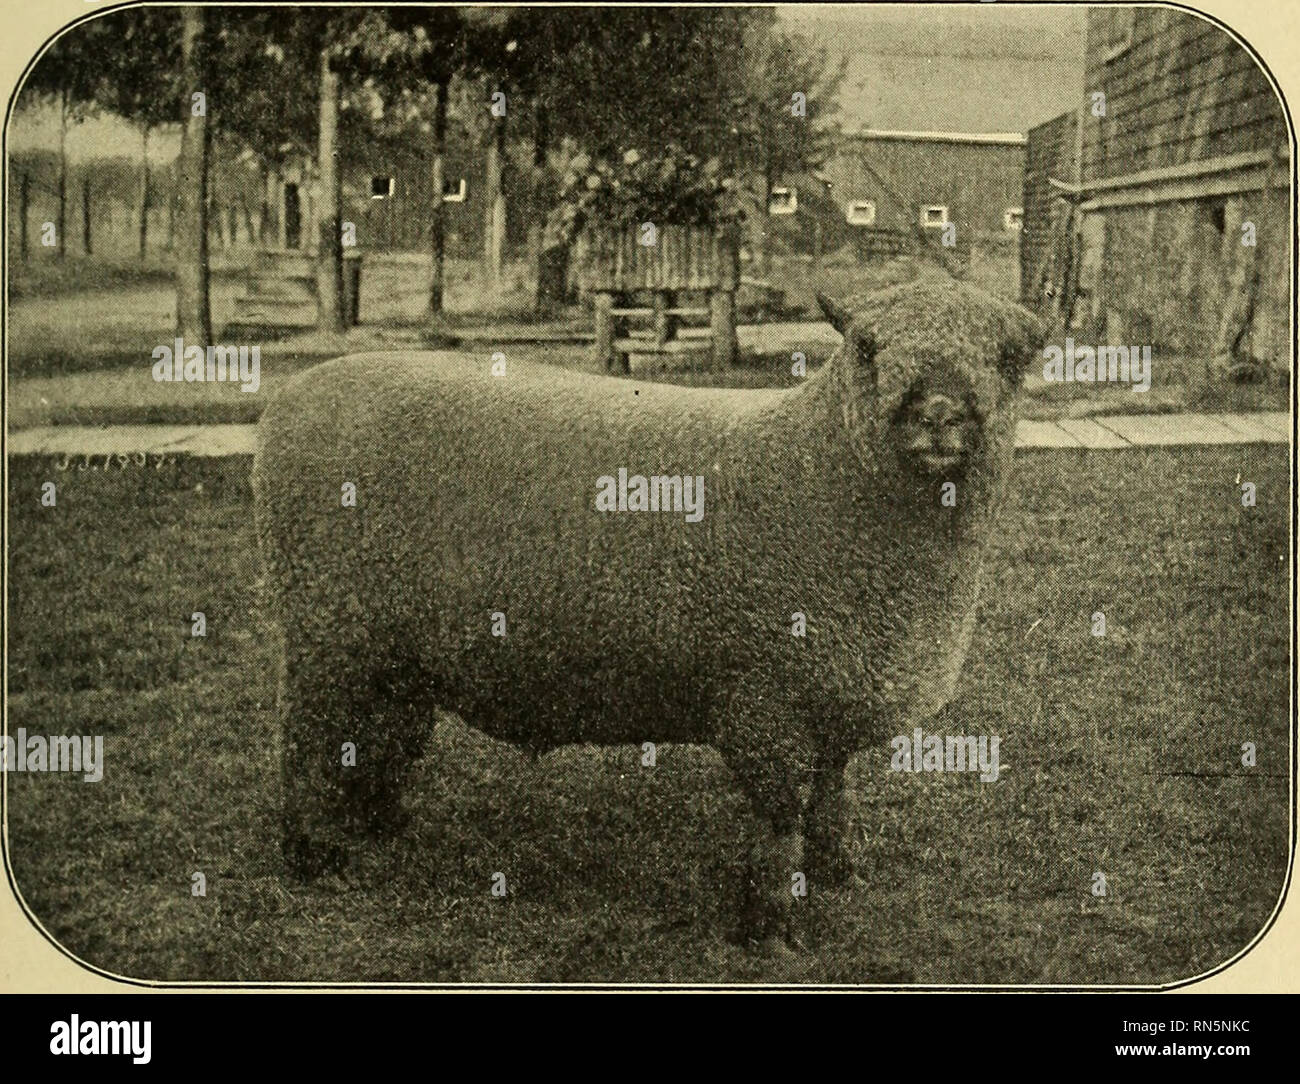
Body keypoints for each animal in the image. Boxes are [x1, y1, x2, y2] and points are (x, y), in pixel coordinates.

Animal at [252, 279, 1045, 944]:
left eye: (1008, 355)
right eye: (868, 347)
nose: (938, 416)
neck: (818, 466)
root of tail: (287, 403)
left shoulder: (831, 687)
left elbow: (831, 795)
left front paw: (837, 872)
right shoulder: (767, 691)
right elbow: (780, 811)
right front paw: (770, 923)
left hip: (390, 645)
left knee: (378, 734)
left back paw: (381, 824)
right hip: (326, 625)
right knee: (306, 741)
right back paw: (314, 855)